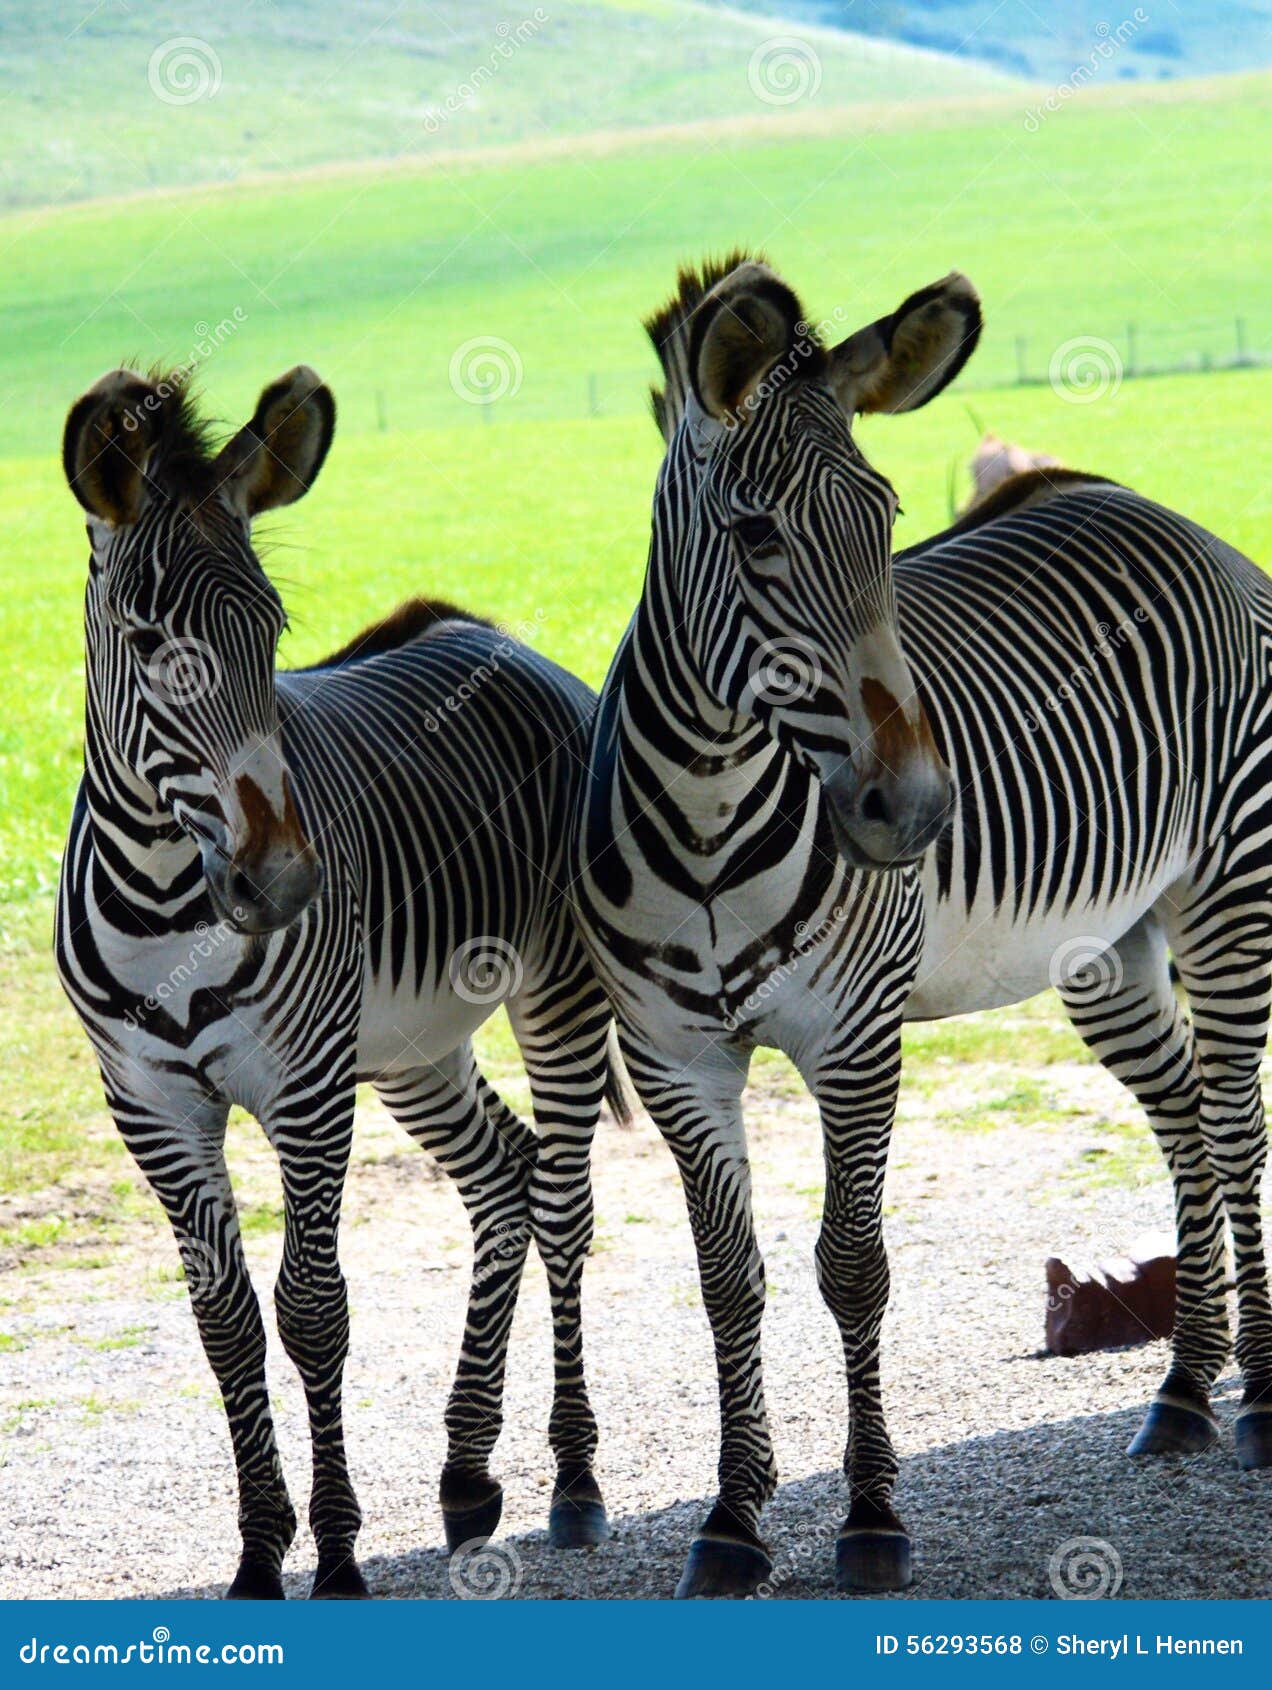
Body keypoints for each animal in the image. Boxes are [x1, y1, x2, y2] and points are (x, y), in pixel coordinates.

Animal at [57, 365, 616, 1599]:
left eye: (271, 627)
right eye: (147, 639)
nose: (280, 882)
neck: (168, 898)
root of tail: (495, 639)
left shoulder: (305, 1085)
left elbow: (313, 1309)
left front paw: (343, 1552)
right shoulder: (149, 1103)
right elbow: (224, 1321)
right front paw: (262, 1553)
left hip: (555, 994)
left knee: (562, 1199)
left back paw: (572, 1478)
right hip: (413, 1045)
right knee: (504, 1176)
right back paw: (466, 1473)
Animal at [572, 255, 1272, 1598]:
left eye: (888, 516)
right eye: (754, 533)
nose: (916, 810)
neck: (707, 817)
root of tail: (1163, 514)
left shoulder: (855, 1037)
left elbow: (852, 1267)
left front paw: (871, 1514)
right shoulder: (677, 1058)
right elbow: (727, 1283)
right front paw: (732, 1521)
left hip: (1228, 892)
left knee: (1233, 1123)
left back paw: (1260, 1398)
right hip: (1103, 947)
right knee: (1184, 1124)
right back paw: (1181, 1392)